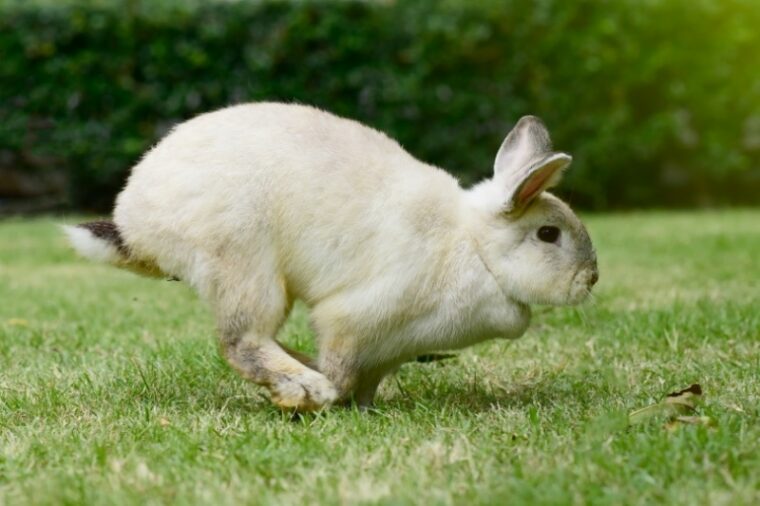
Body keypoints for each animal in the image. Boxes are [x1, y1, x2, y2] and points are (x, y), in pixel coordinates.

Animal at [65, 102, 598, 411]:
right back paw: (304, 389)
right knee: (242, 340)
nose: (590, 279)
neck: (474, 246)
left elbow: (366, 383)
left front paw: (363, 406)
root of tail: (136, 221)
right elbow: (341, 369)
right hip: (246, 266)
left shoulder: (387, 350)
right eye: (548, 234)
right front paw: (327, 394)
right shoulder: (352, 322)